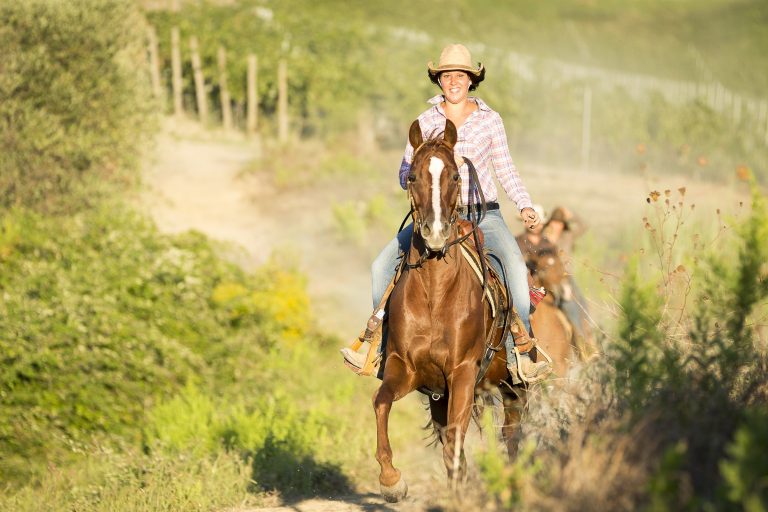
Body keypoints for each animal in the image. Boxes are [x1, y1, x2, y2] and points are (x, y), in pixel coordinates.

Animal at [372, 118, 566, 502]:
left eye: (455, 176)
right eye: (412, 176)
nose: (434, 233)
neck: (435, 296)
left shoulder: (462, 373)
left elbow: (456, 441)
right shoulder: (407, 370)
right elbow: (382, 403)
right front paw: (391, 481)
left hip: (514, 390)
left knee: (511, 436)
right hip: (439, 394)